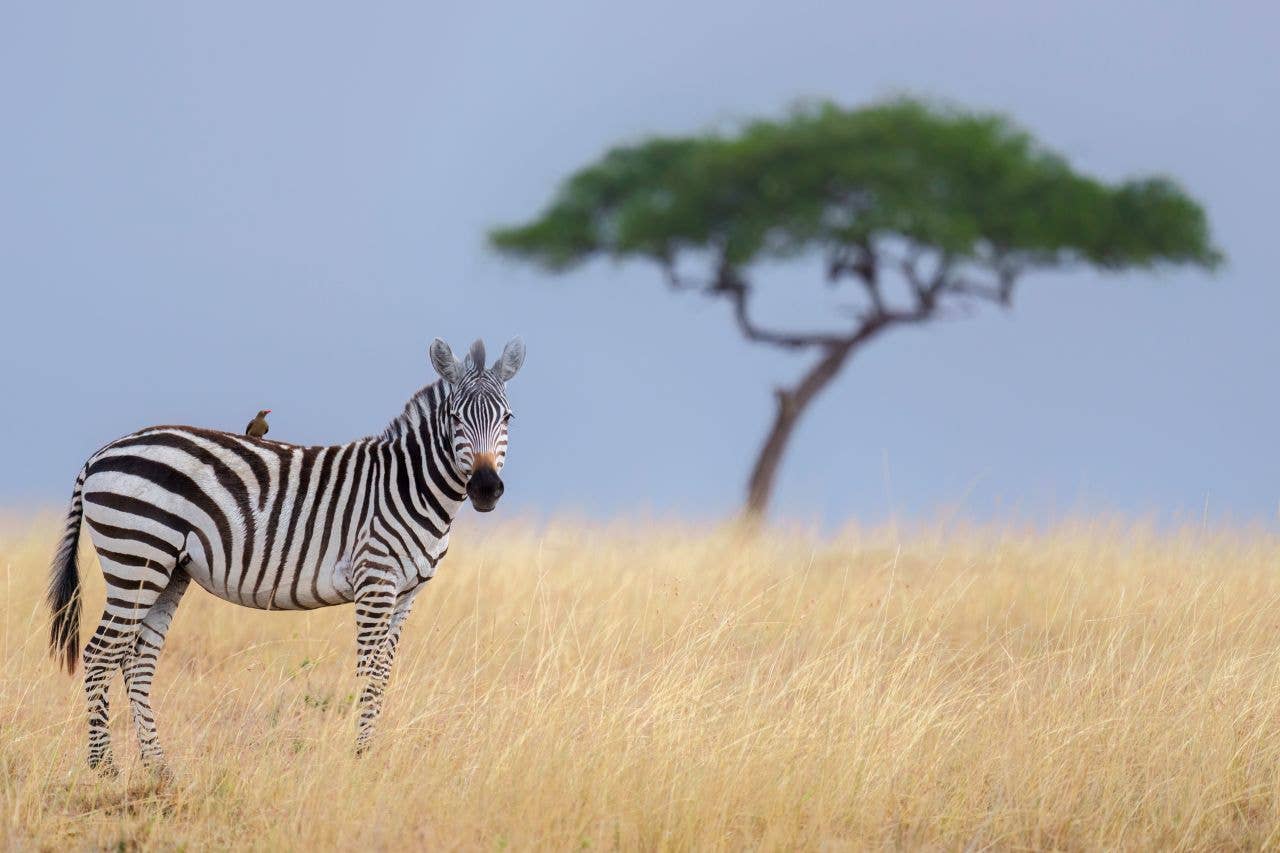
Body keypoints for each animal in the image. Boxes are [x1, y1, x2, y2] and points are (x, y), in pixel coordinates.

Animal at [46, 337, 524, 776]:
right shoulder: (375, 579)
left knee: (137, 660)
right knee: (100, 654)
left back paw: (159, 768)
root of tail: (100, 454)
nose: (486, 489)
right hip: (136, 554)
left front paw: (369, 754)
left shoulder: (407, 593)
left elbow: (383, 674)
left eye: (507, 417)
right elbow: (368, 673)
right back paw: (103, 768)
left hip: (168, 570)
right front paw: (359, 758)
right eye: (455, 418)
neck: (409, 485)